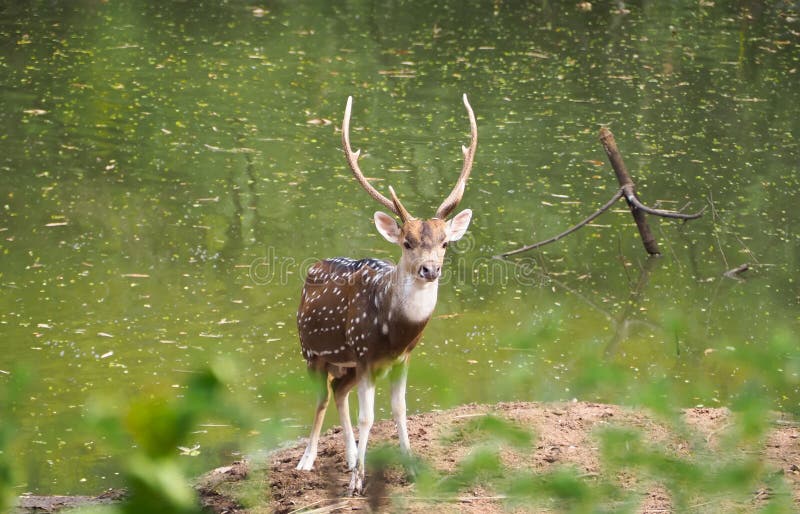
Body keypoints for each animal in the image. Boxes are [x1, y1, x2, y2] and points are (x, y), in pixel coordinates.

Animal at [295, 94, 477, 495]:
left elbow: (399, 409)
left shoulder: (401, 358)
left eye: (444, 242)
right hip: (312, 351)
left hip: (344, 363)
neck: (393, 330)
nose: (429, 269)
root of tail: (312, 269)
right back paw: (307, 461)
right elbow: (368, 416)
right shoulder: (364, 353)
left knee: (338, 389)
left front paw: (410, 468)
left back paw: (349, 457)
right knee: (321, 398)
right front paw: (357, 482)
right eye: (407, 242)